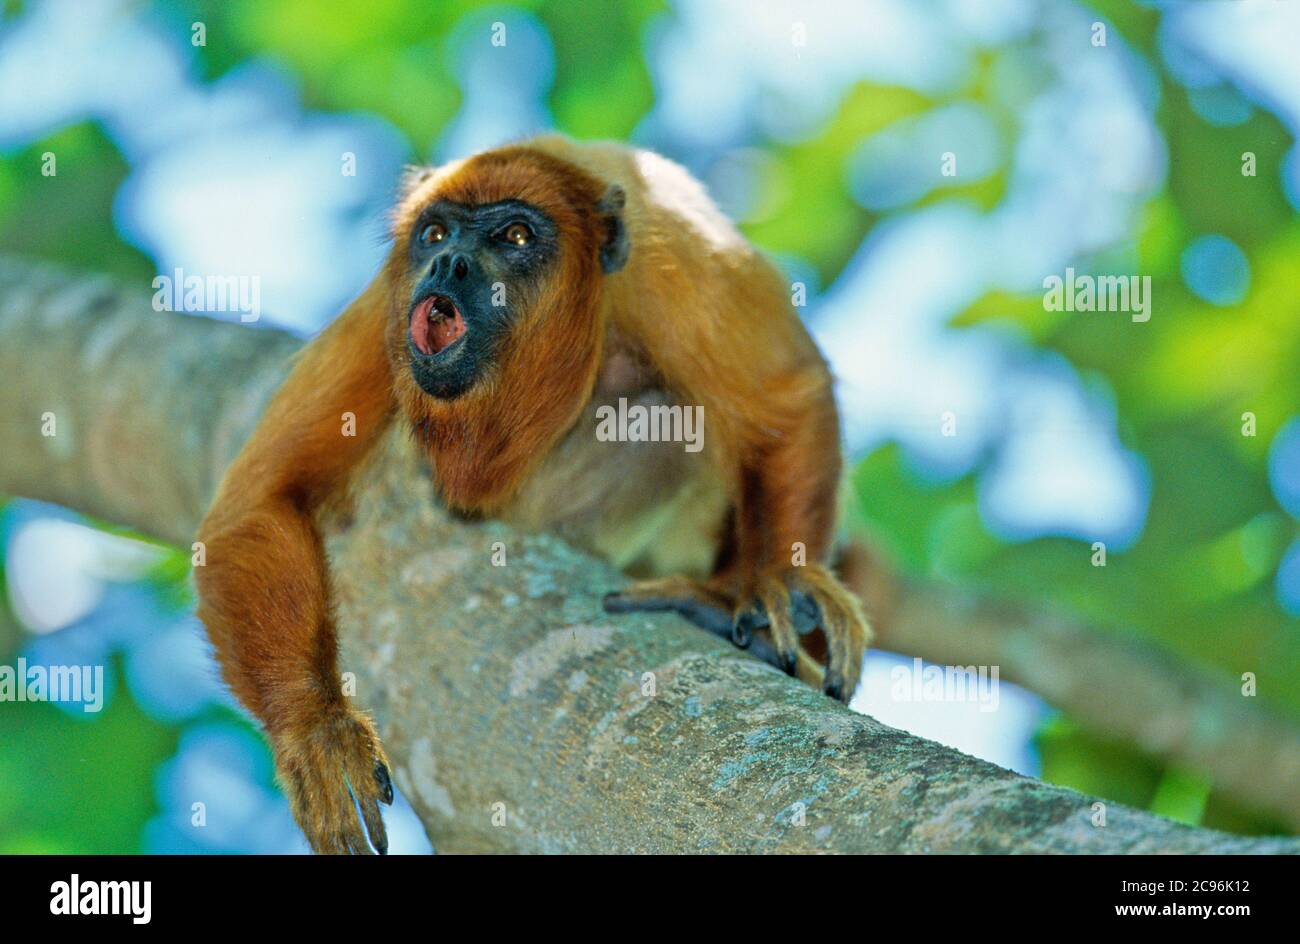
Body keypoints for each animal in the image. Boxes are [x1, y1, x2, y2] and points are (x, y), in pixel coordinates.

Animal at [193, 136, 871, 855]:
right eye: (436, 233)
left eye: (515, 236)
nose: (449, 263)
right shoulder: (384, 305)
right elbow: (263, 496)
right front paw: (317, 729)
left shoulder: (675, 268)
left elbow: (787, 401)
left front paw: (782, 580)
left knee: (663, 415)